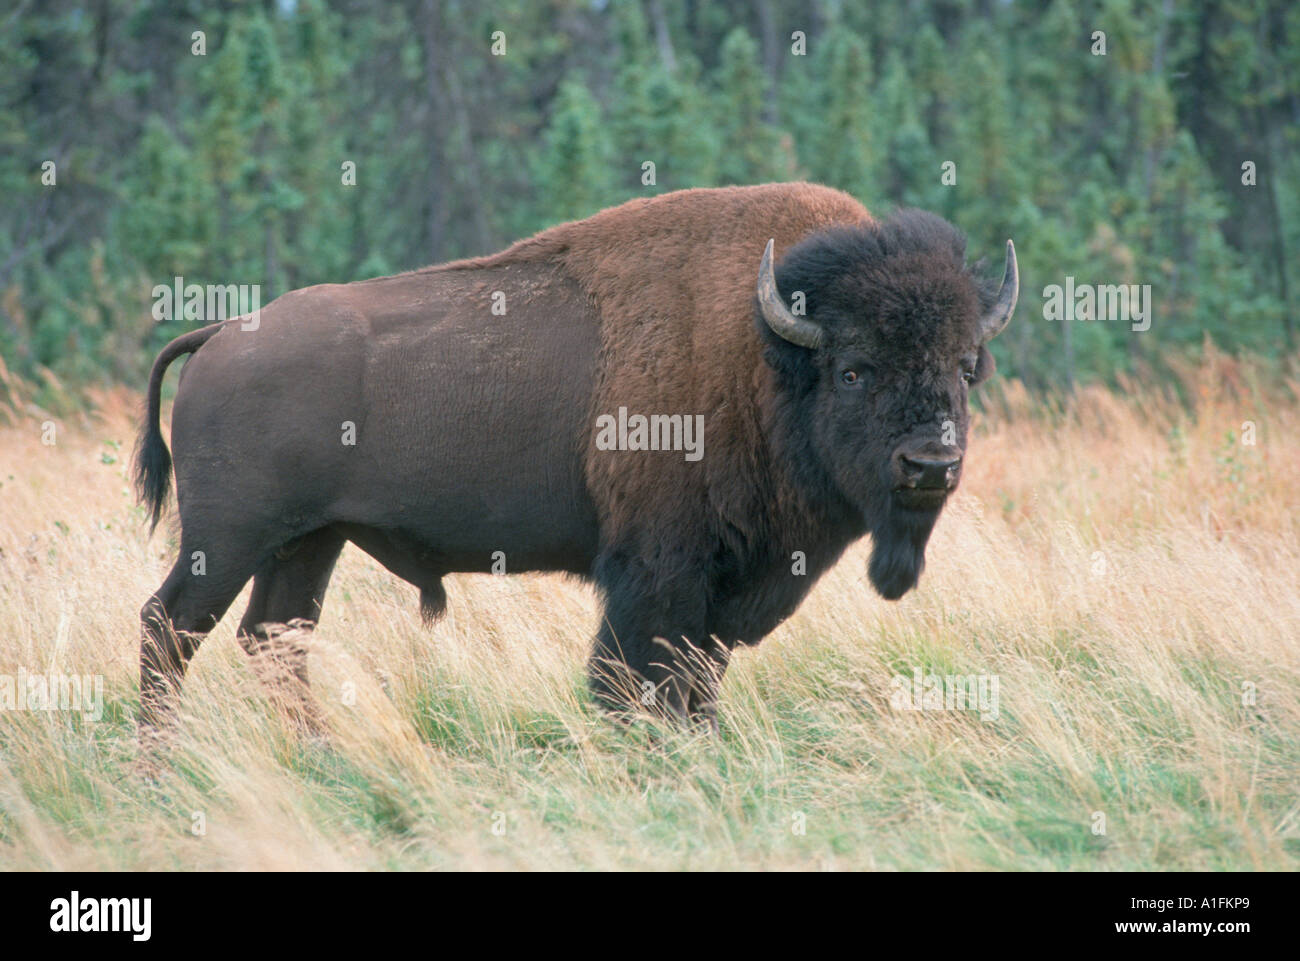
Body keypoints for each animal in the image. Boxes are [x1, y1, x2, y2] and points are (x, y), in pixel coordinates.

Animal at [133, 181, 1017, 735]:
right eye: (854, 368)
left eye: (963, 366)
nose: (929, 465)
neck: (763, 355)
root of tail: (220, 333)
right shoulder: (658, 573)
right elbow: (637, 678)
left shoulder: (723, 588)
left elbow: (697, 681)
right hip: (229, 539)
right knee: (170, 627)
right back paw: (159, 766)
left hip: (309, 542)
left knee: (274, 640)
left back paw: (316, 754)